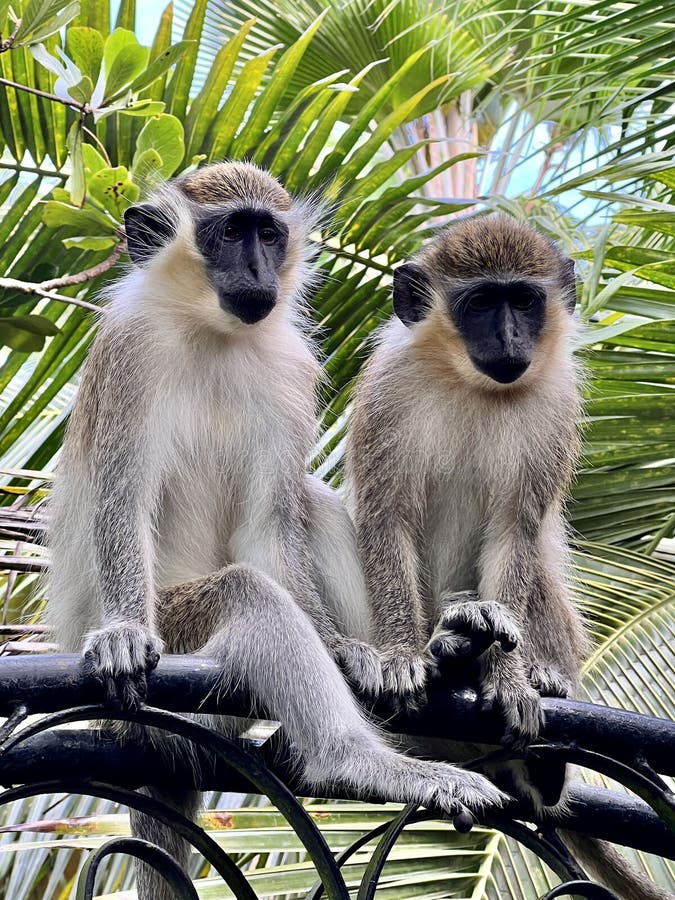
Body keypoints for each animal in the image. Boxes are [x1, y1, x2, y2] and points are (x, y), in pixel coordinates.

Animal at [45, 163, 506, 900]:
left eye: (268, 233)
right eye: (230, 232)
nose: (258, 269)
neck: (211, 332)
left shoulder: (289, 367)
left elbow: (271, 521)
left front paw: (346, 650)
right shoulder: (128, 353)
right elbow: (123, 502)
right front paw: (121, 629)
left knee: (306, 507)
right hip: (173, 692)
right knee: (248, 593)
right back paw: (352, 761)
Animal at [345, 213, 673, 900]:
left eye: (521, 301)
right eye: (479, 305)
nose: (509, 339)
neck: (471, 386)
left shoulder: (555, 407)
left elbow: (516, 535)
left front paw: (510, 679)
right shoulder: (389, 390)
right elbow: (387, 520)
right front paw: (399, 656)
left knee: (539, 555)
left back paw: (537, 721)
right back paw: (448, 651)